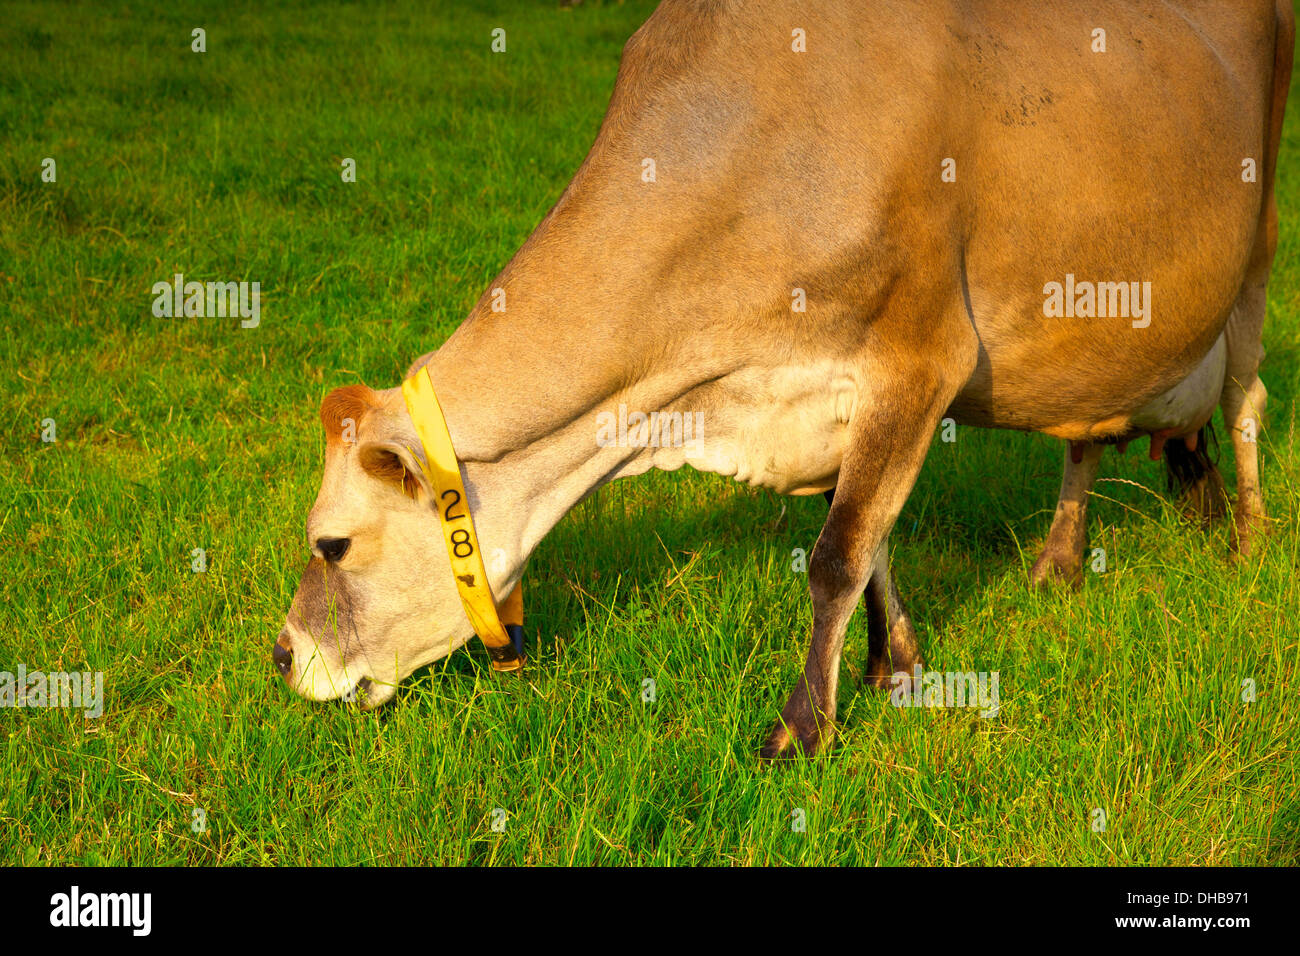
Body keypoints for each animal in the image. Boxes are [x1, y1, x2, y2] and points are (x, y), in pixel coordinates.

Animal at [274, 0, 1294, 759]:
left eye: (332, 544)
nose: (283, 657)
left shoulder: (919, 357)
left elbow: (839, 553)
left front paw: (803, 730)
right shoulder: (824, 399)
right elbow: (871, 542)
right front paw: (894, 666)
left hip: (1254, 256)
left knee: (1244, 401)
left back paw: (1248, 537)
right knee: (1088, 435)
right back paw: (1058, 562)